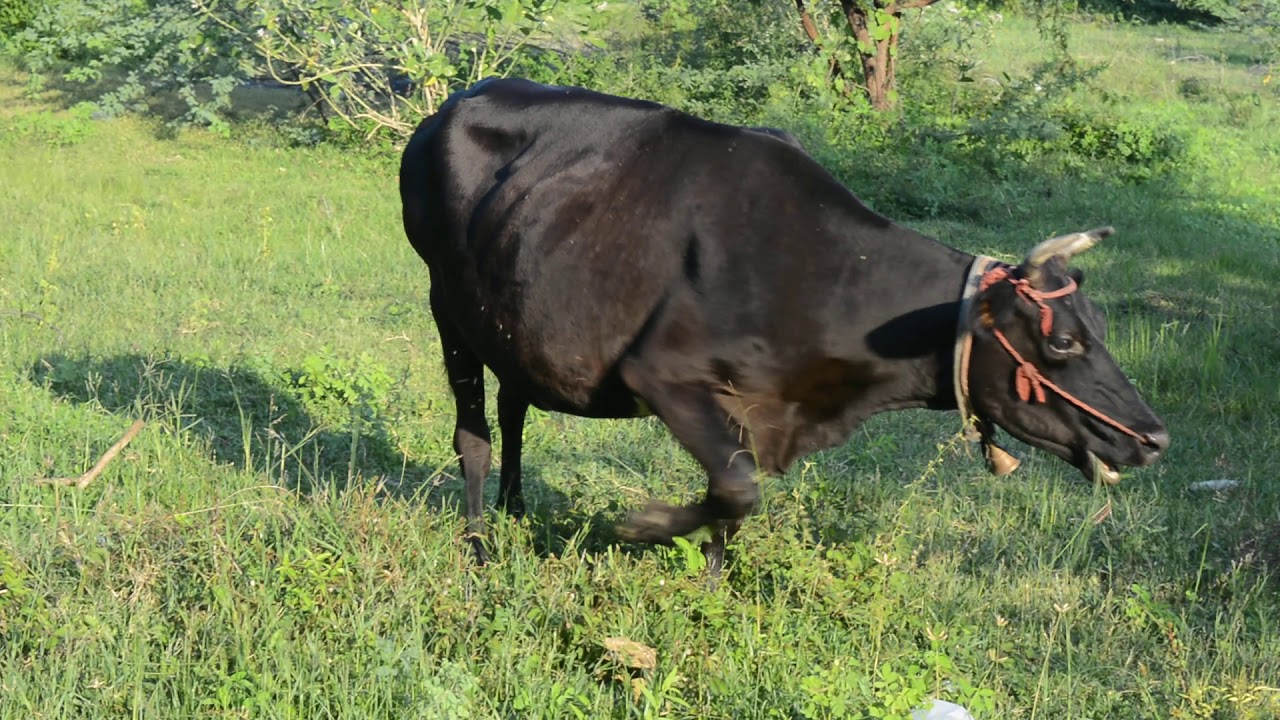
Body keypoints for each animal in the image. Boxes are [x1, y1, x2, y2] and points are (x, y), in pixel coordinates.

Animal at [398, 78, 1169, 572]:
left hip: (511, 320)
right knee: (474, 436)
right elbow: (738, 488)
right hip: (447, 308)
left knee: (514, 407)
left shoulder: (752, 403)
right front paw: (648, 525)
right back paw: (479, 549)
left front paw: (707, 591)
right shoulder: (662, 375)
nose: (1154, 438)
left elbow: (729, 504)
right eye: (1062, 341)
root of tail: (452, 104)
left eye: (1100, 324)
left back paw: (516, 514)